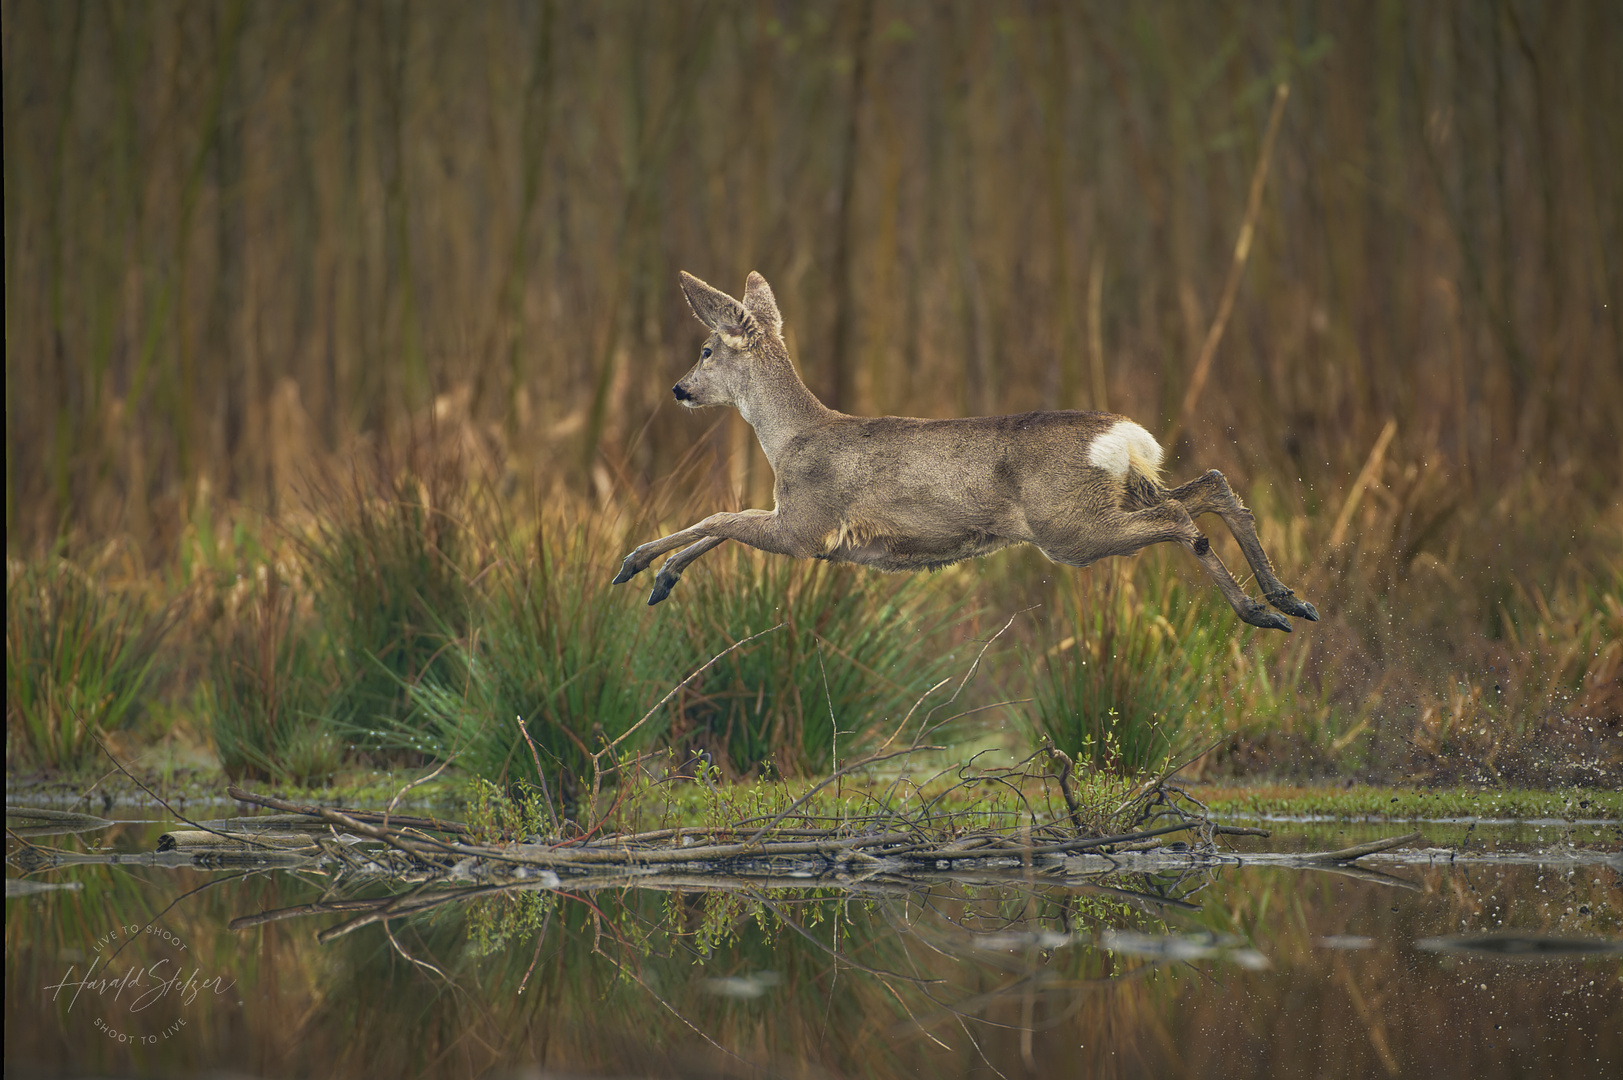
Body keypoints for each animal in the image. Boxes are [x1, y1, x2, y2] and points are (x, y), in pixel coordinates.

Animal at [610, 274, 1317, 633]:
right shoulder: (801, 525)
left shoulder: (810, 525)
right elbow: (722, 523)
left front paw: (638, 565)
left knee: (1179, 519)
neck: (790, 439)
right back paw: (1289, 600)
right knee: (1212, 486)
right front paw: (659, 579)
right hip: (1123, 491)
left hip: (1070, 526)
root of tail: (1123, 435)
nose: (678, 389)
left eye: (705, 351)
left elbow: (719, 519)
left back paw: (1258, 610)